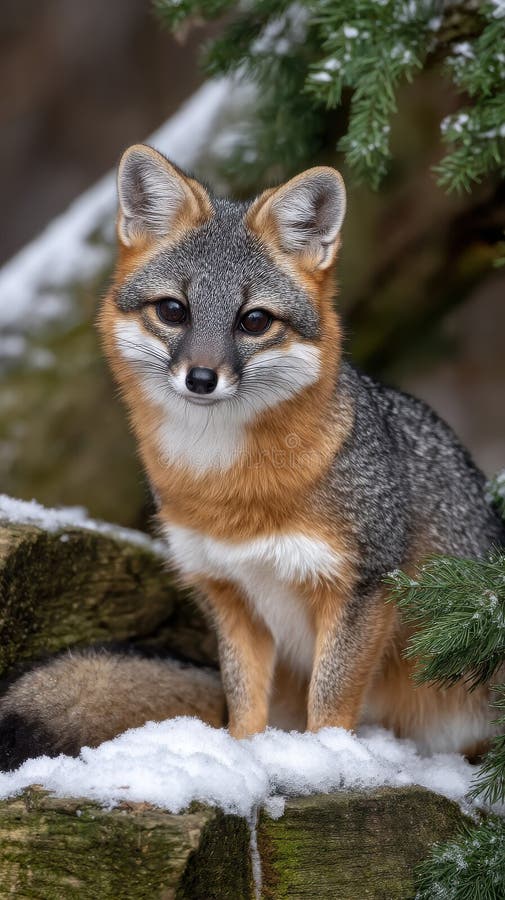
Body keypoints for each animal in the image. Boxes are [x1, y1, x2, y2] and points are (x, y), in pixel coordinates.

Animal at [1, 144, 503, 772]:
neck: (228, 490)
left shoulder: (364, 584)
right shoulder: (229, 590)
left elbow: (331, 699)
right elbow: (243, 703)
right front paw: (243, 760)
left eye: (255, 320)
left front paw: (327, 760)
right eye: (174, 311)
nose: (201, 378)